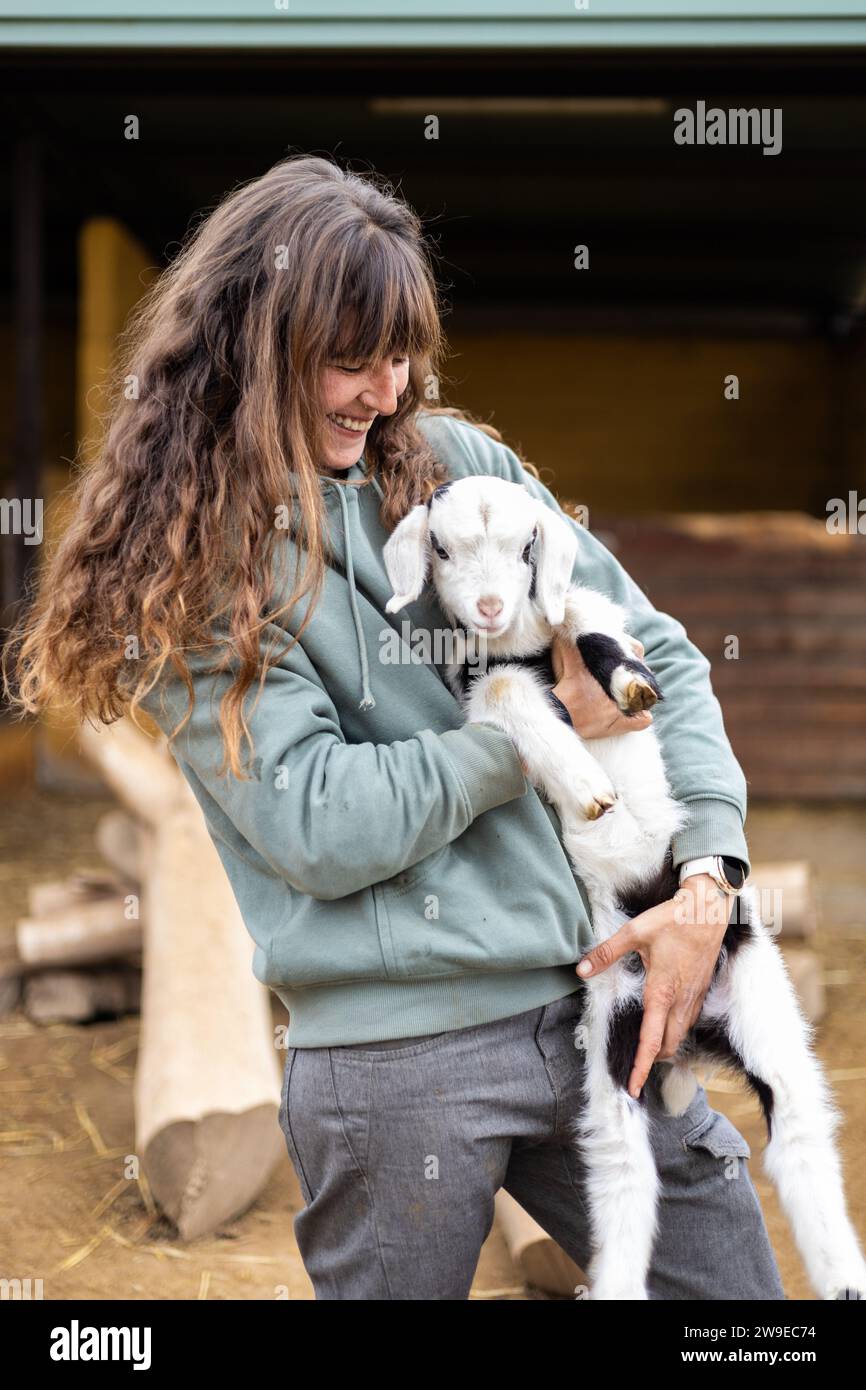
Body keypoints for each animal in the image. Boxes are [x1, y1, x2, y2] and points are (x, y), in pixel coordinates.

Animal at [382, 472, 866, 1301]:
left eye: (528, 545)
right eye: (441, 548)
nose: (489, 607)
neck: (527, 648)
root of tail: (697, 1030)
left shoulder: (580, 617)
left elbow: (588, 619)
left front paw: (633, 686)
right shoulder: (477, 686)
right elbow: (506, 691)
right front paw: (587, 791)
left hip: (758, 1003)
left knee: (801, 1141)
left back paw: (842, 1279)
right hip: (618, 1052)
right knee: (626, 1188)